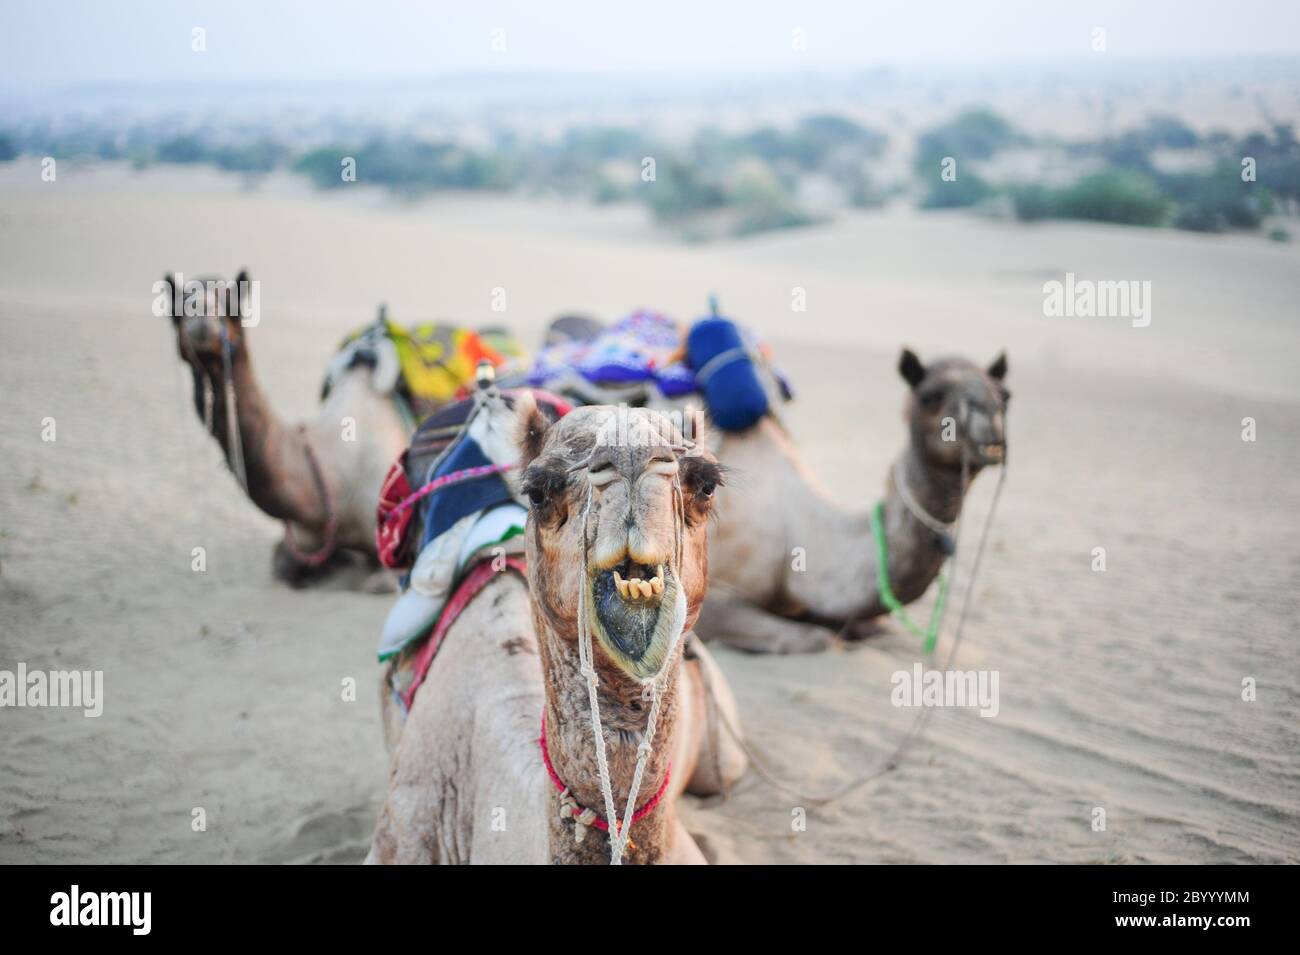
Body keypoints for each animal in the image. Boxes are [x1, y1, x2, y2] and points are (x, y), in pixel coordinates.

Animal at [162, 271, 412, 584]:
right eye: (175, 310)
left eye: (234, 306)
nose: (200, 318)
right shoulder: (303, 536)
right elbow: (283, 564)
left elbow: (382, 581)